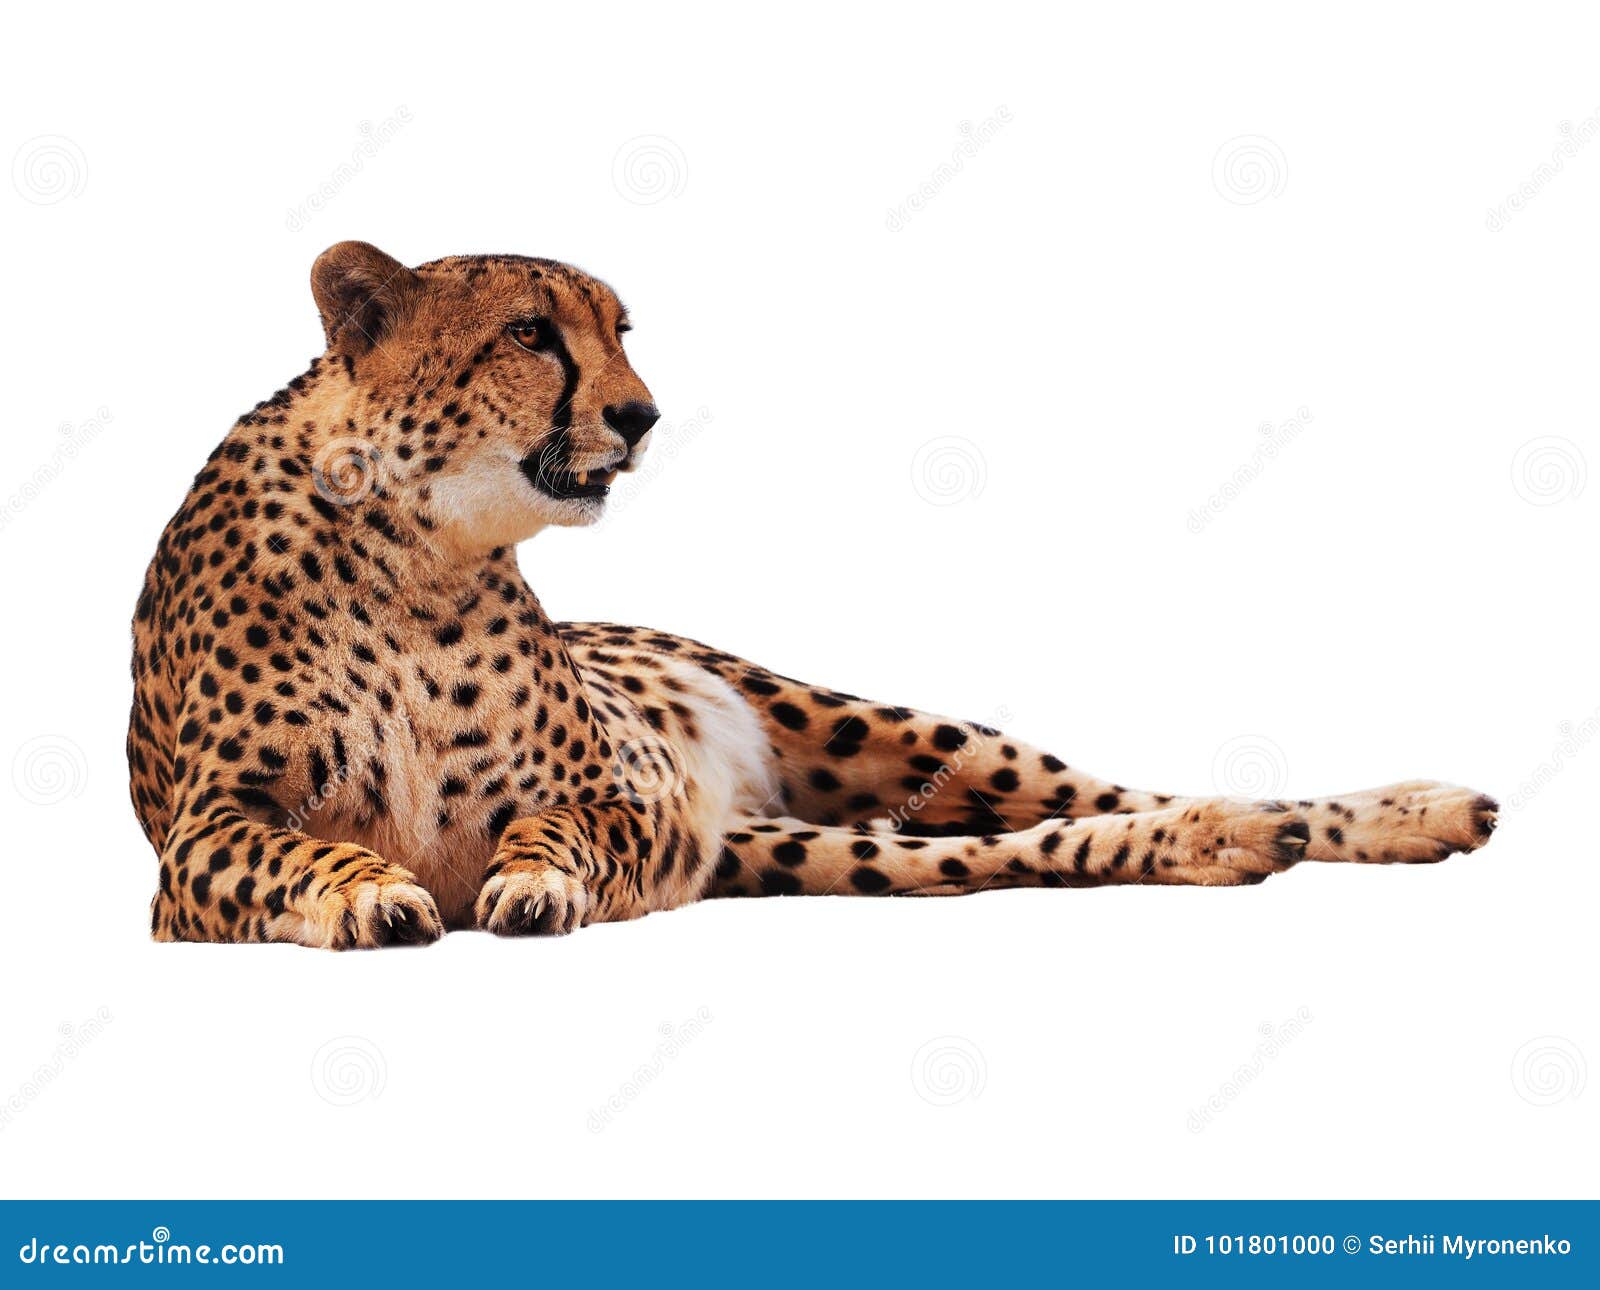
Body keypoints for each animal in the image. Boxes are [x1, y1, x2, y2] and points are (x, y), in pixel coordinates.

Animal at [126, 241, 1499, 948]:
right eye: (529, 332)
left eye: (621, 331)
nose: (641, 415)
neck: (419, 552)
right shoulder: (199, 840)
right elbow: (291, 853)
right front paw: (370, 890)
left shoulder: (626, 799)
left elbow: (556, 829)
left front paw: (529, 881)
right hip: (793, 849)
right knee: (1014, 854)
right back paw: (1229, 842)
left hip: (897, 736)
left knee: (1111, 797)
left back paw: (1378, 812)